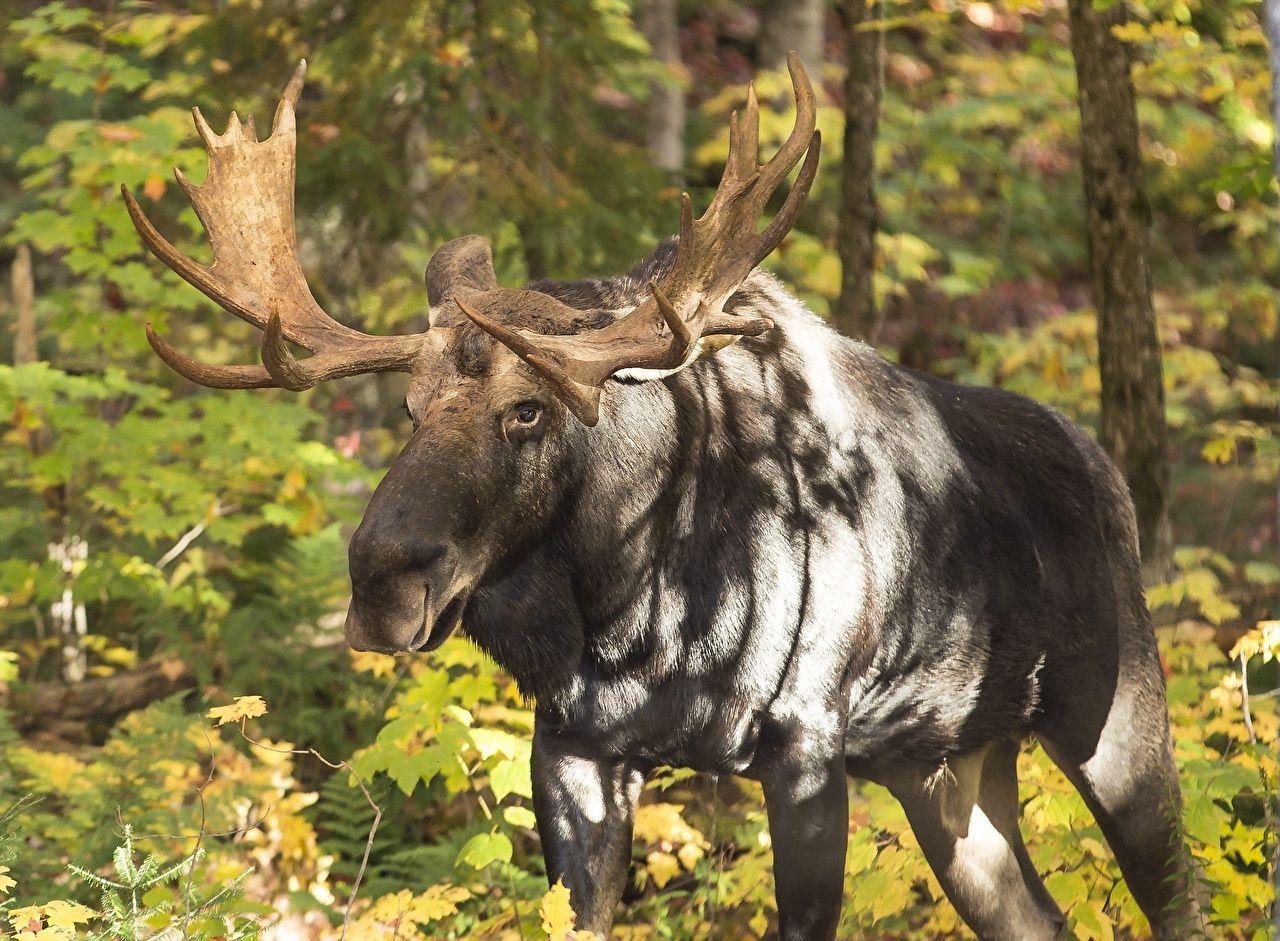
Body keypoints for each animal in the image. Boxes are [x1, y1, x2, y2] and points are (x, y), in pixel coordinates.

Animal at [124, 58, 1200, 940]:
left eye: (526, 410)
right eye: (406, 405)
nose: (381, 579)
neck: (630, 606)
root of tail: (1108, 476)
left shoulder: (805, 746)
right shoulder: (572, 748)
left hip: (1117, 725)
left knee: (1175, 901)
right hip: (945, 771)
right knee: (1039, 916)